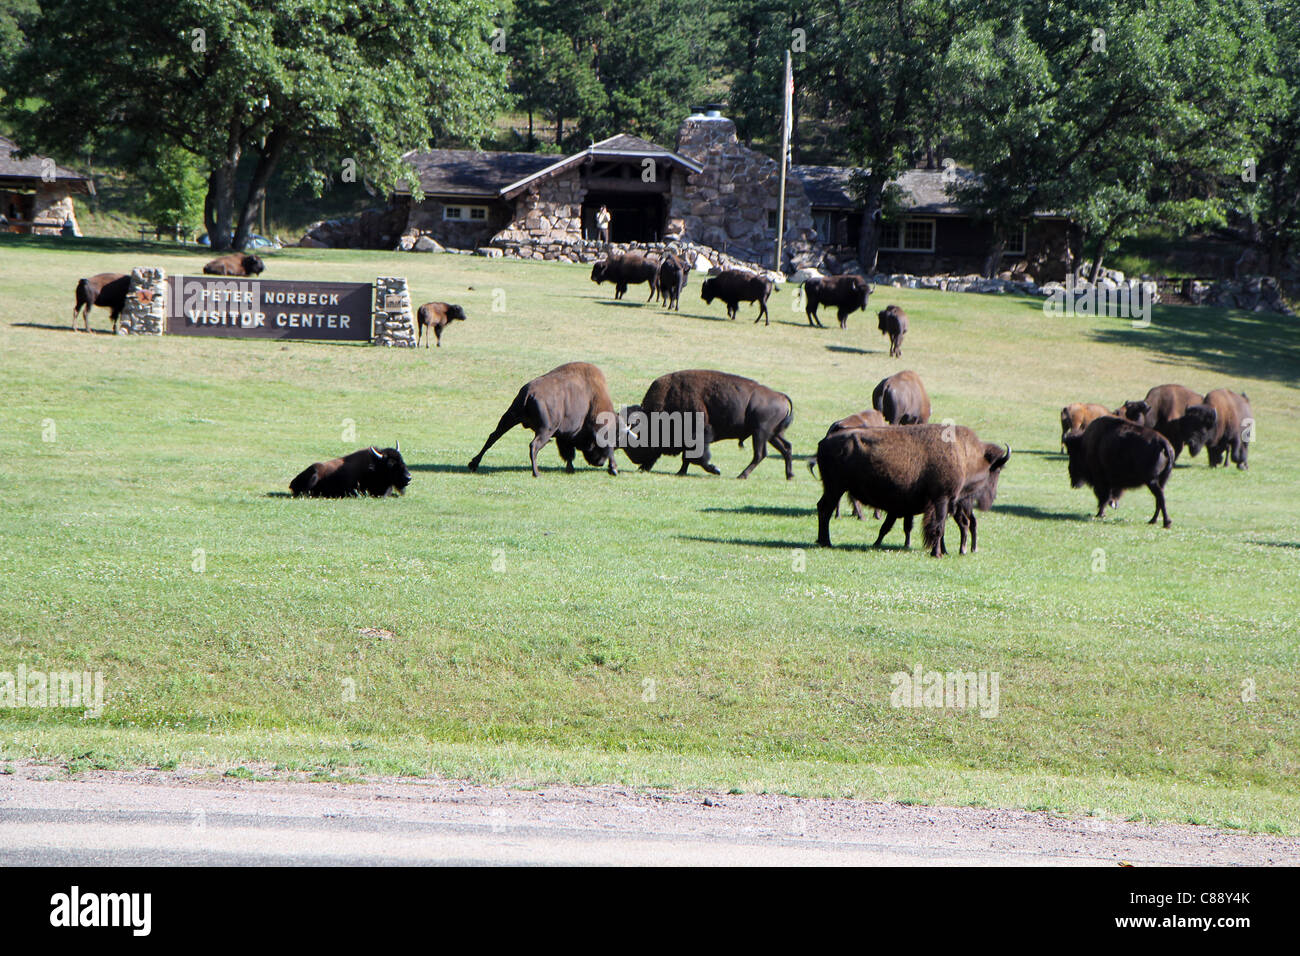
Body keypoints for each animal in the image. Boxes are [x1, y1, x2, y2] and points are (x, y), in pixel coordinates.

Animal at [468, 362, 624, 477]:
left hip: (509, 418)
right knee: (533, 445)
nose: (599, 463)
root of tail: (529, 393)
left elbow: (568, 453)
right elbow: (607, 448)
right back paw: (536, 473)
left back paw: (473, 464)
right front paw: (614, 469)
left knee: (493, 437)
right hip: (545, 429)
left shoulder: (565, 436)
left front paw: (570, 469)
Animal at [620, 369, 795, 479]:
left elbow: (698, 458)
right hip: (772, 435)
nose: (638, 463)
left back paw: (742, 475)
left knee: (760, 454)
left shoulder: (699, 437)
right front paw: (681, 472)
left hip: (760, 433)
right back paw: (789, 476)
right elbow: (687, 458)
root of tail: (781, 396)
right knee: (786, 448)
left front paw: (715, 470)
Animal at [815, 423, 1011, 557]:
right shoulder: (941, 499)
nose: (991, 499)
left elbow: (940, 527)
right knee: (825, 509)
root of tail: (826, 440)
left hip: (833, 489)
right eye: (997, 470)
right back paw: (826, 542)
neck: (964, 454)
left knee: (822, 508)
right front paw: (937, 554)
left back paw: (823, 541)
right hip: (835, 488)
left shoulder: (946, 503)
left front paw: (942, 551)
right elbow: (939, 527)